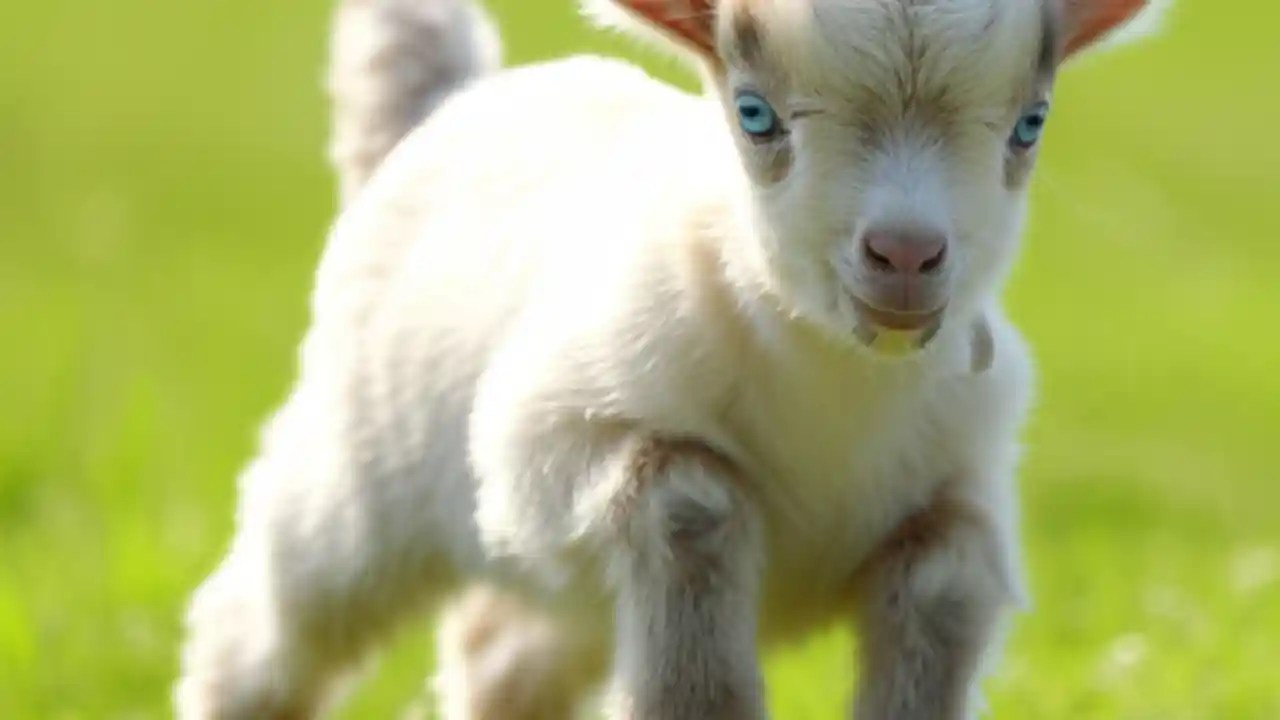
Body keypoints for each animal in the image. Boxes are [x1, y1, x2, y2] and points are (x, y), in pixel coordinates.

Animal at [176, 0, 1164, 717]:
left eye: (1030, 124)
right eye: (756, 117)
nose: (907, 254)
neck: (834, 398)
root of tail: (452, 103)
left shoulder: (961, 492)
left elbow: (943, 594)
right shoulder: (546, 440)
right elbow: (694, 513)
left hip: (564, 595)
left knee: (500, 655)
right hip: (360, 486)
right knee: (258, 634)